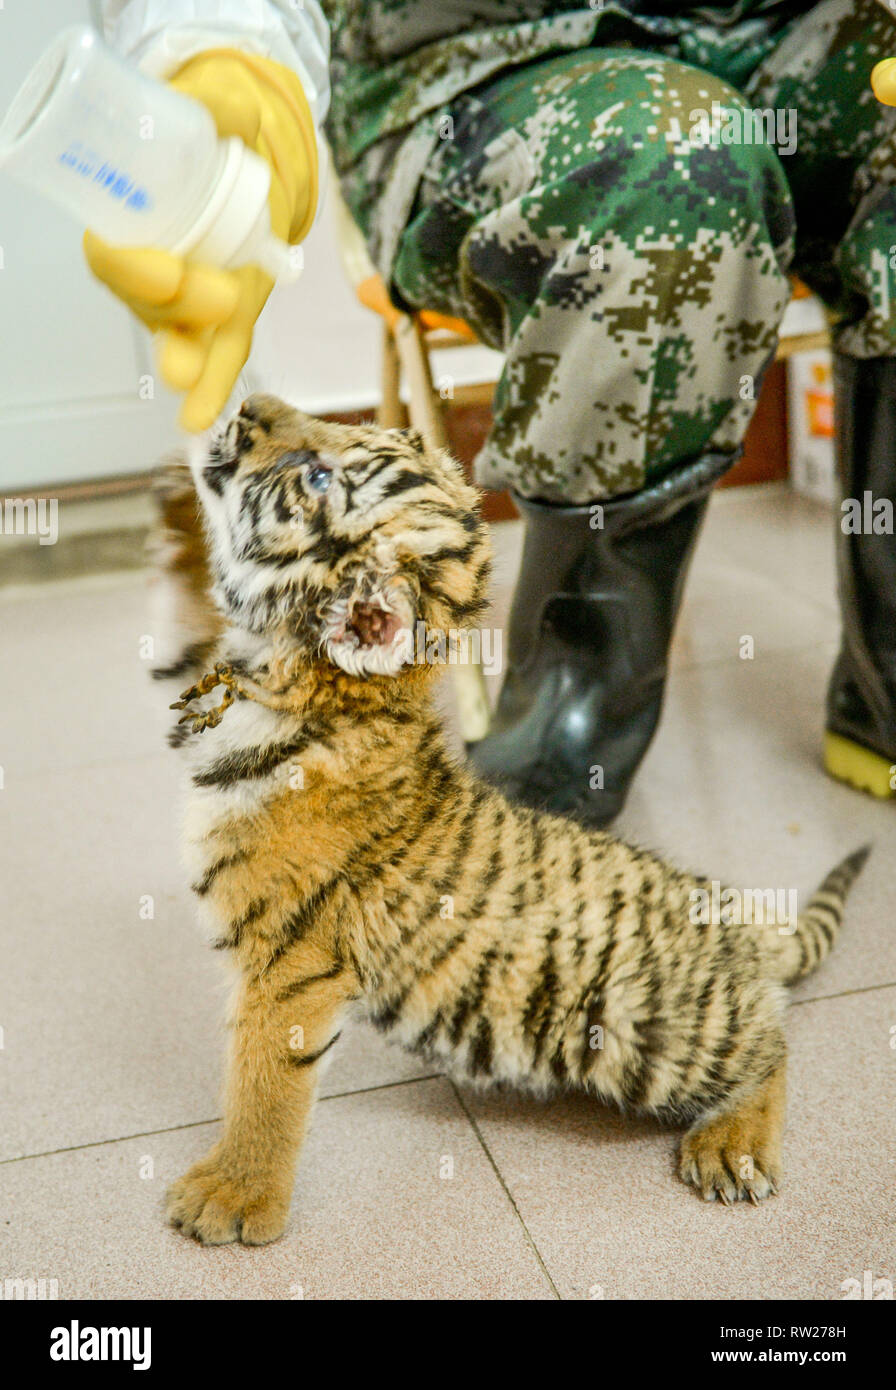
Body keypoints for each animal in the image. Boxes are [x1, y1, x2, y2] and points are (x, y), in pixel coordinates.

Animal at [153, 393, 868, 1246]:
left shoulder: (292, 963)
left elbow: (264, 1081)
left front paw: (234, 1195)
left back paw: (732, 1147)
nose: (251, 403)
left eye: (319, 473)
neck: (290, 682)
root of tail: (728, 914)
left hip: (646, 1030)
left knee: (770, 1042)